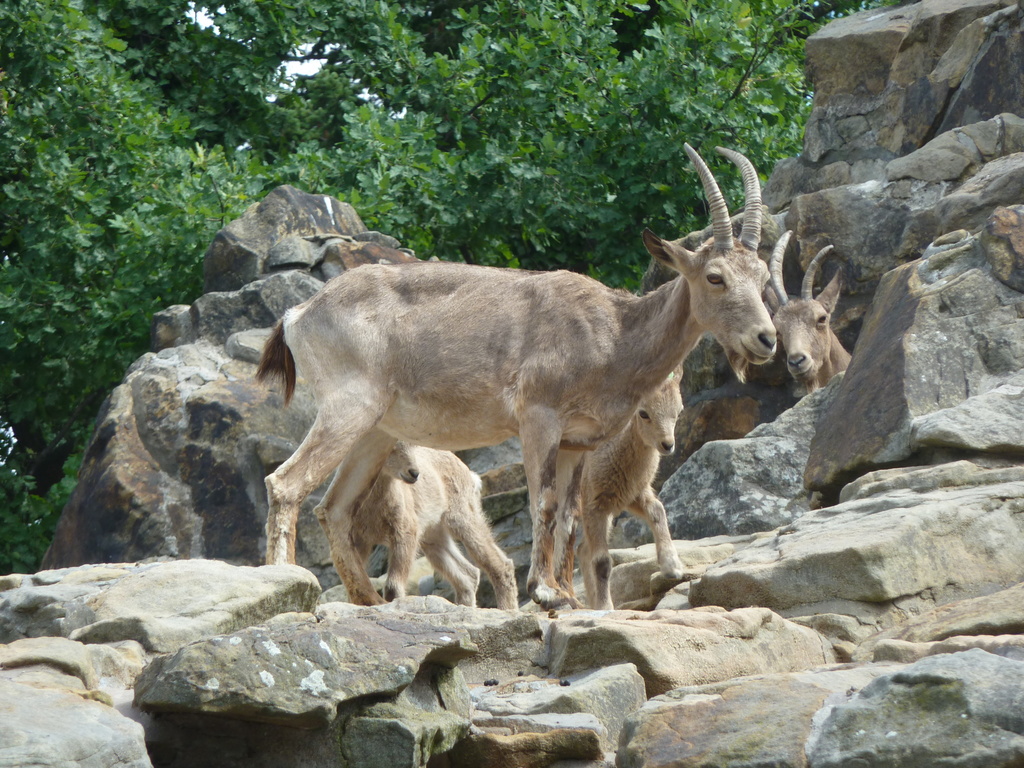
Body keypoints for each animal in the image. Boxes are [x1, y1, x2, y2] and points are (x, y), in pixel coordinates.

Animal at [316, 442, 519, 610]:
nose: (414, 473)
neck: (374, 507)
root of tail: (470, 475)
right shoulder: (359, 539)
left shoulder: (405, 531)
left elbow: (393, 586)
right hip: (433, 537)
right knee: (468, 574)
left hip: (462, 517)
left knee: (499, 564)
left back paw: (506, 610)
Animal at [573, 369, 685, 610]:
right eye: (643, 413)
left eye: (679, 410)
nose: (667, 444)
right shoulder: (594, 502)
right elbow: (602, 561)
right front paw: (606, 607)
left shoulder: (632, 495)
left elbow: (658, 510)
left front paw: (672, 566)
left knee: (583, 549)